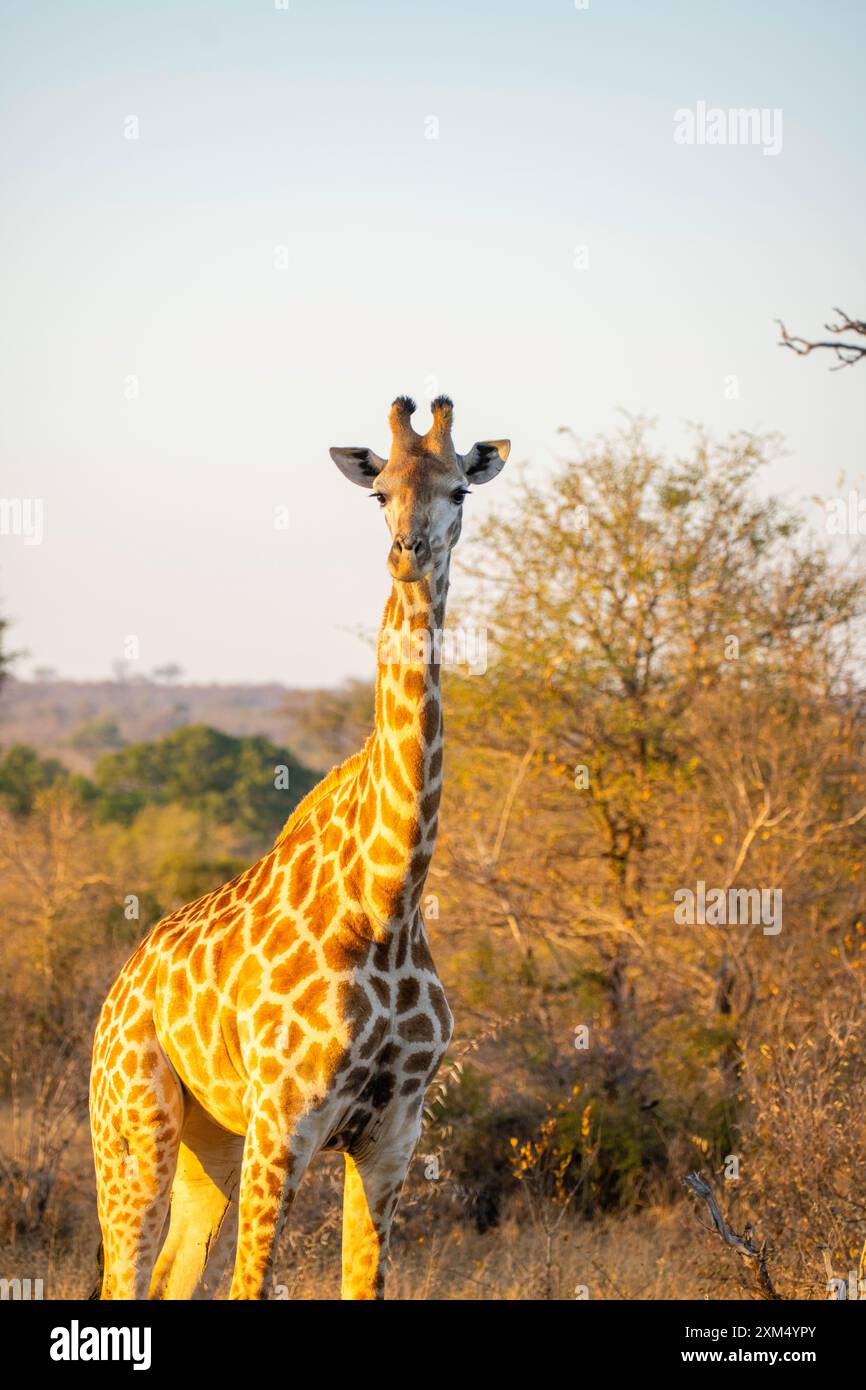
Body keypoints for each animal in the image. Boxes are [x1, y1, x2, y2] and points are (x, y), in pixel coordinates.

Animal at [89, 394, 510, 1300]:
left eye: (459, 489)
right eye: (379, 492)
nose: (407, 555)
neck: (385, 905)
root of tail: (116, 991)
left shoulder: (393, 1134)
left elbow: (363, 1283)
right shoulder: (286, 1123)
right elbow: (251, 1285)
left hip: (211, 1141)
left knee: (171, 1274)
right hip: (134, 1127)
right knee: (125, 1275)